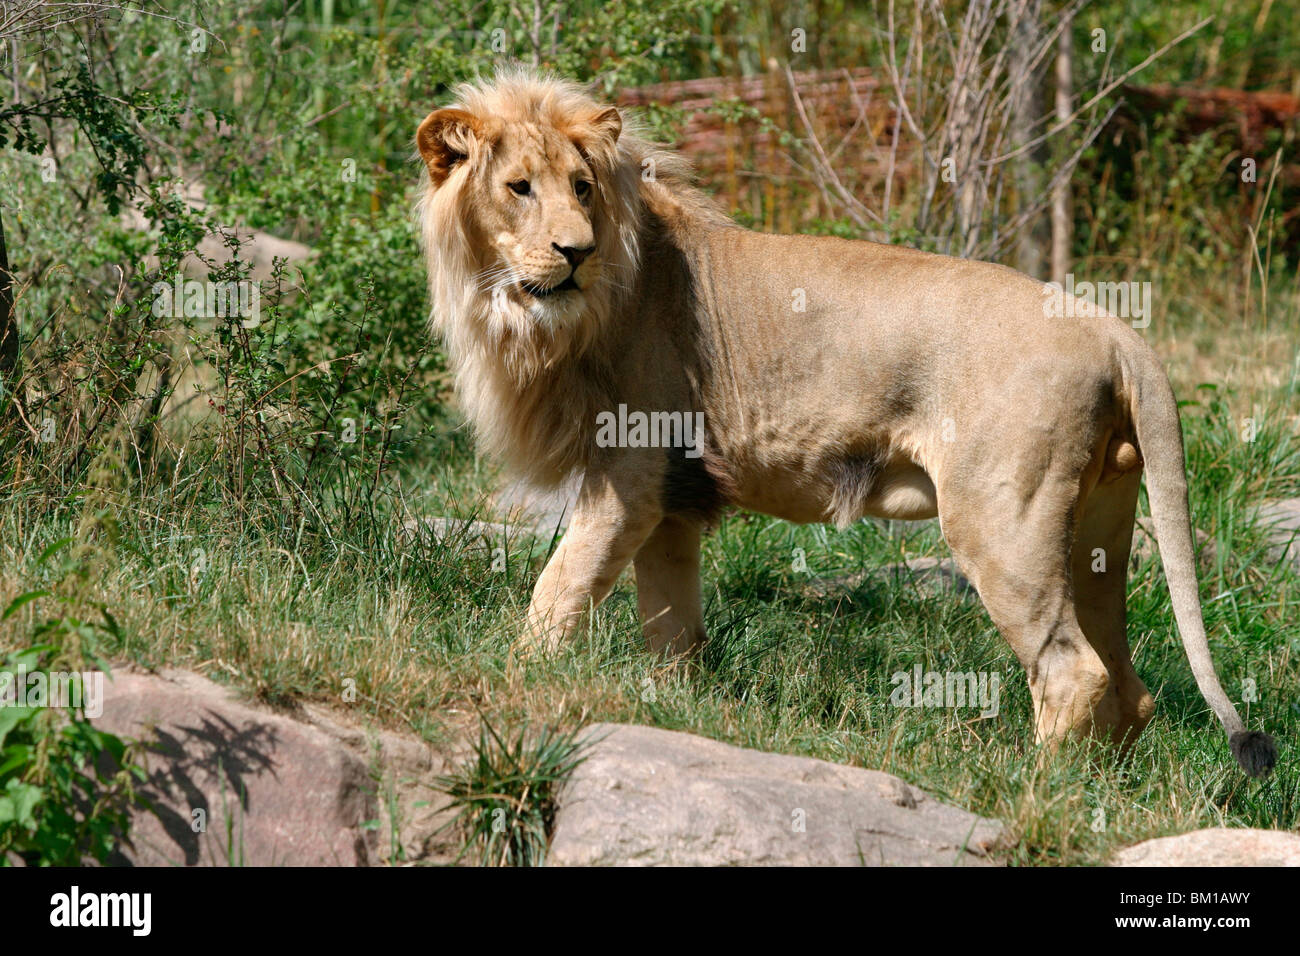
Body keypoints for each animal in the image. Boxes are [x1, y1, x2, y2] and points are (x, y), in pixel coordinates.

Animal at [415, 68, 1276, 777]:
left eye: (583, 187)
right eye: (521, 187)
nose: (576, 252)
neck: (535, 322)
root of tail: (1115, 328)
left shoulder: (629, 475)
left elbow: (558, 591)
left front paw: (519, 677)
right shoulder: (673, 498)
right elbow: (672, 629)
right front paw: (677, 713)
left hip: (1004, 520)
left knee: (1074, 671)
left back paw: (1035, 789)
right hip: (1100, 525)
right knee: (1128, 686)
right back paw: (1097, 796)